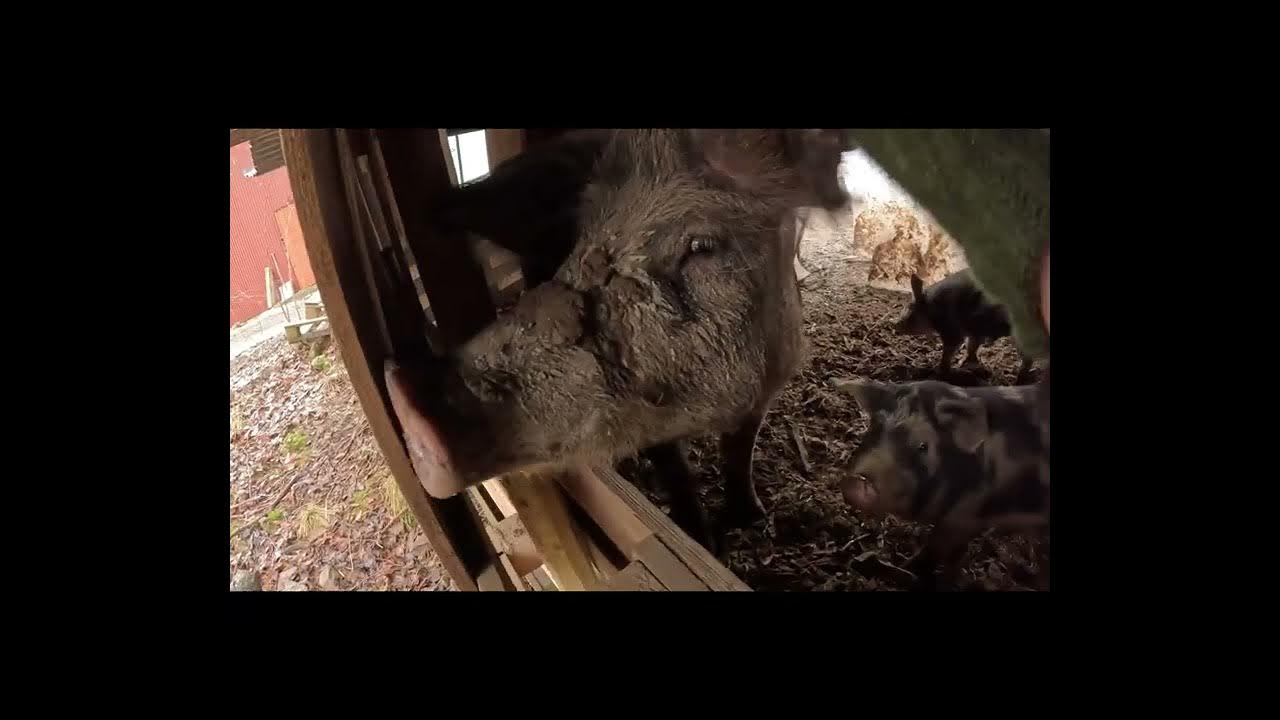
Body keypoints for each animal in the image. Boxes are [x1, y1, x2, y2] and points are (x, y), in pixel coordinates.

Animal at [391, 129, 850, 551]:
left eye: (702, 246)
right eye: (579, 239)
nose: (408, 405)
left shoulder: (774, 370)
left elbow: (741, 448)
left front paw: (751, 516)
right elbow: (675, 468)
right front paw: (699, 537)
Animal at [829, 376, 1049, 590]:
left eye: (923, 446)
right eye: (873, 429)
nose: (859, 480)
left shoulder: (965, 514)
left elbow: (936, 549)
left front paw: (908, 573)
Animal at [895, 270, 1034, 382]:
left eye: (910, 315)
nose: (895, 326)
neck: (932, 308)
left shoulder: (952, 330)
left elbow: (949, 353)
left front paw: (941, 373)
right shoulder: (973, 331)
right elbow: (971, 347)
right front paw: (965, 364)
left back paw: (1019, 379)